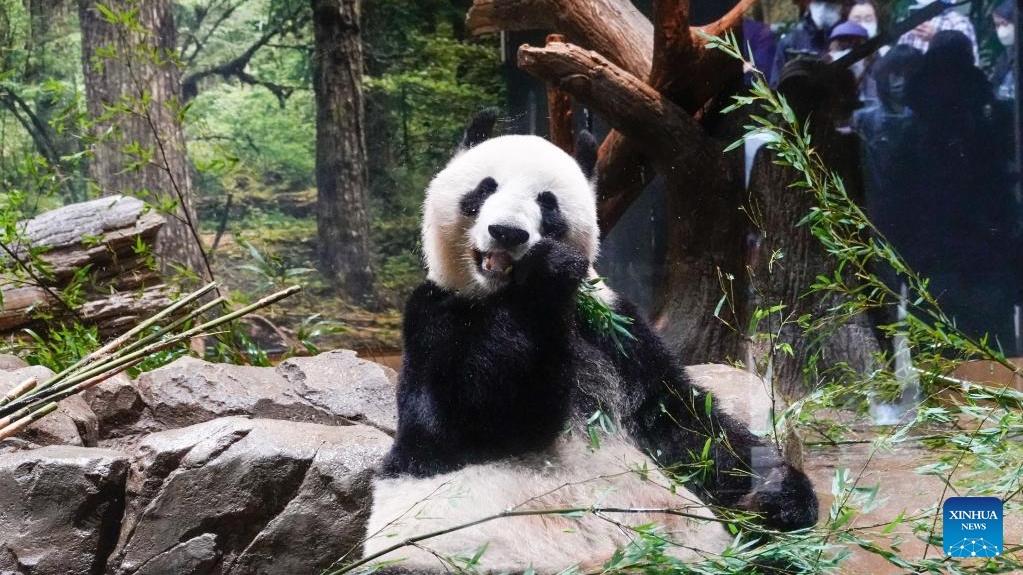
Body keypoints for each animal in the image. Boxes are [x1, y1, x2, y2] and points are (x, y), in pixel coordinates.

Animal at [362, 110, 818, 573]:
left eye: (547, 202)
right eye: (485, 187)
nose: (507, 232)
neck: (498, 296)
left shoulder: (617, 332)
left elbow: (684, 425)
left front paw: (781, 496)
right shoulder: (434, 315)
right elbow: (469, 418)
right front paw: (544, 275)